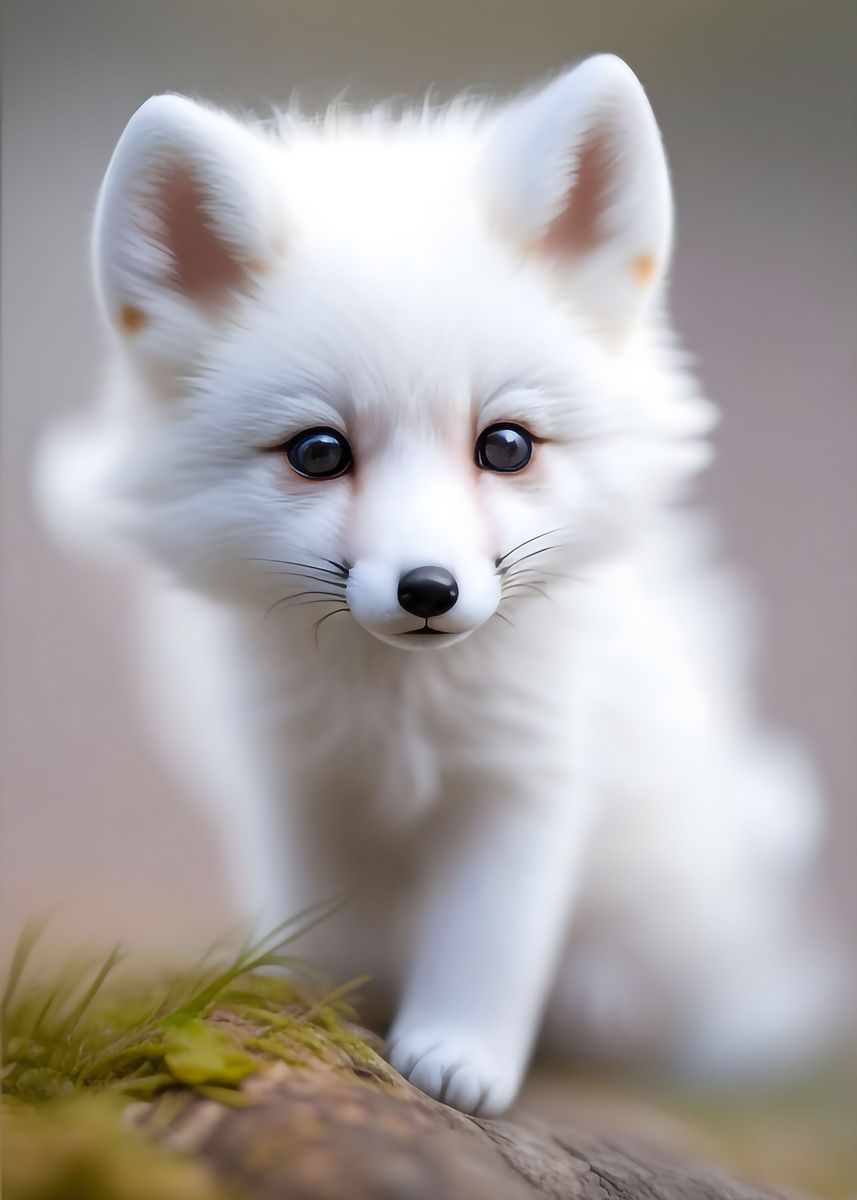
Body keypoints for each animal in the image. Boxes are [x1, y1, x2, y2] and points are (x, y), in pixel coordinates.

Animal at [37, 55, 840, 1115]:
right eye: (319, 453)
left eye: (504, 446)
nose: (428, 591)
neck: (400, 721)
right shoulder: (299, 788)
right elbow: (322, 934)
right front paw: (305, 1016)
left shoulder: (524, 783)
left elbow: (489, 945)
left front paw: (459, 1059)